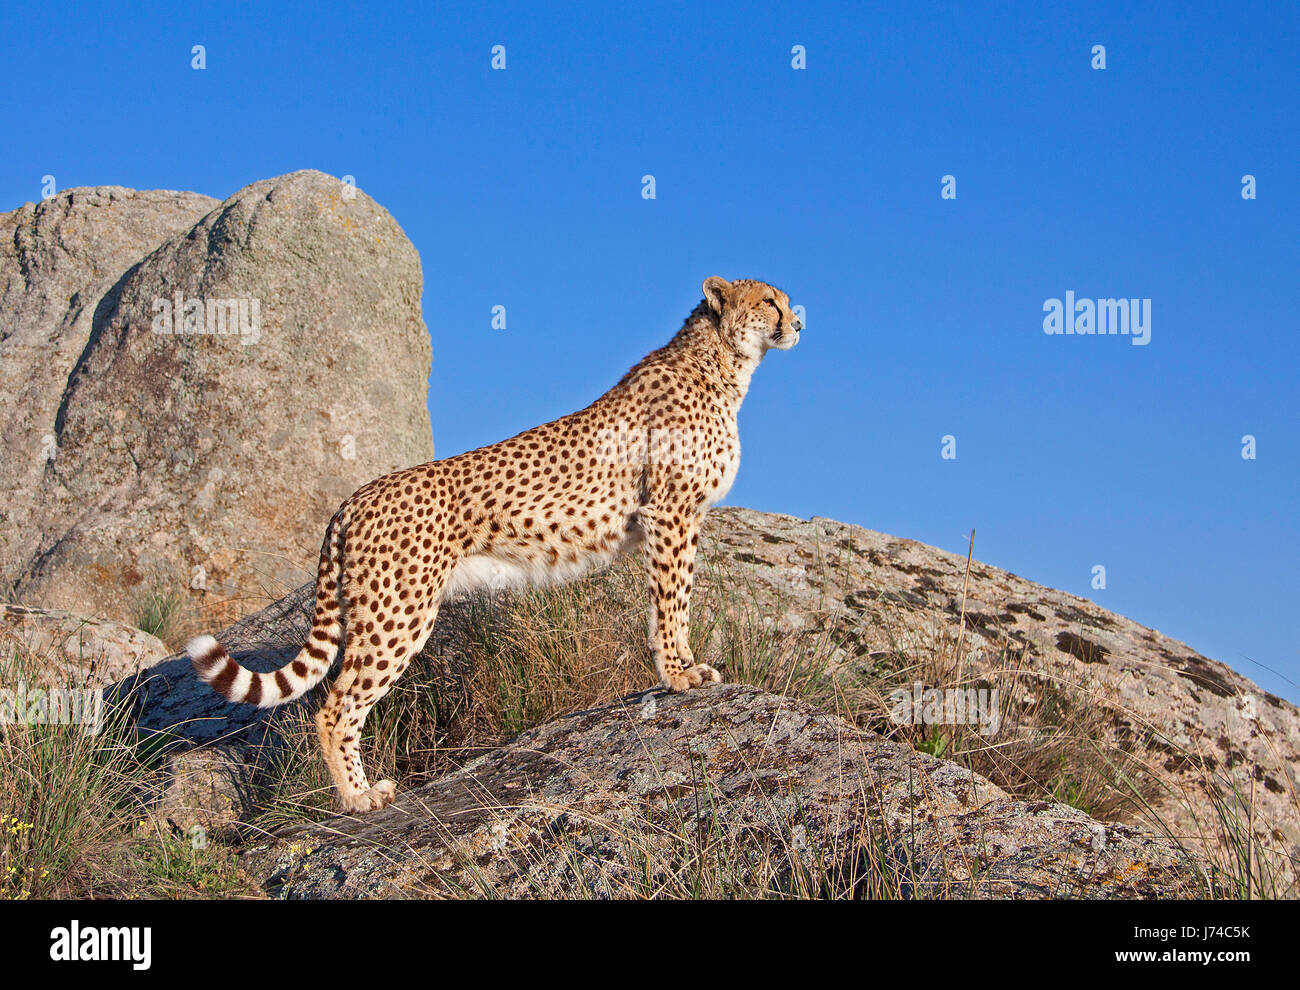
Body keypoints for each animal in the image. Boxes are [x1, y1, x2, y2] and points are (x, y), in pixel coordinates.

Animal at [189, 276, 801, 812]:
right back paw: (357, 799)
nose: (799, 322)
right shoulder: (670, 512)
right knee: (336, 705)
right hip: (397, 613)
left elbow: (674, 602)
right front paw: (679, 674)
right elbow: (673, 603)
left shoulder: (675, 517)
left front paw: (681, 668)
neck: (723, 363)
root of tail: (353, 497)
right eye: (768, 300)